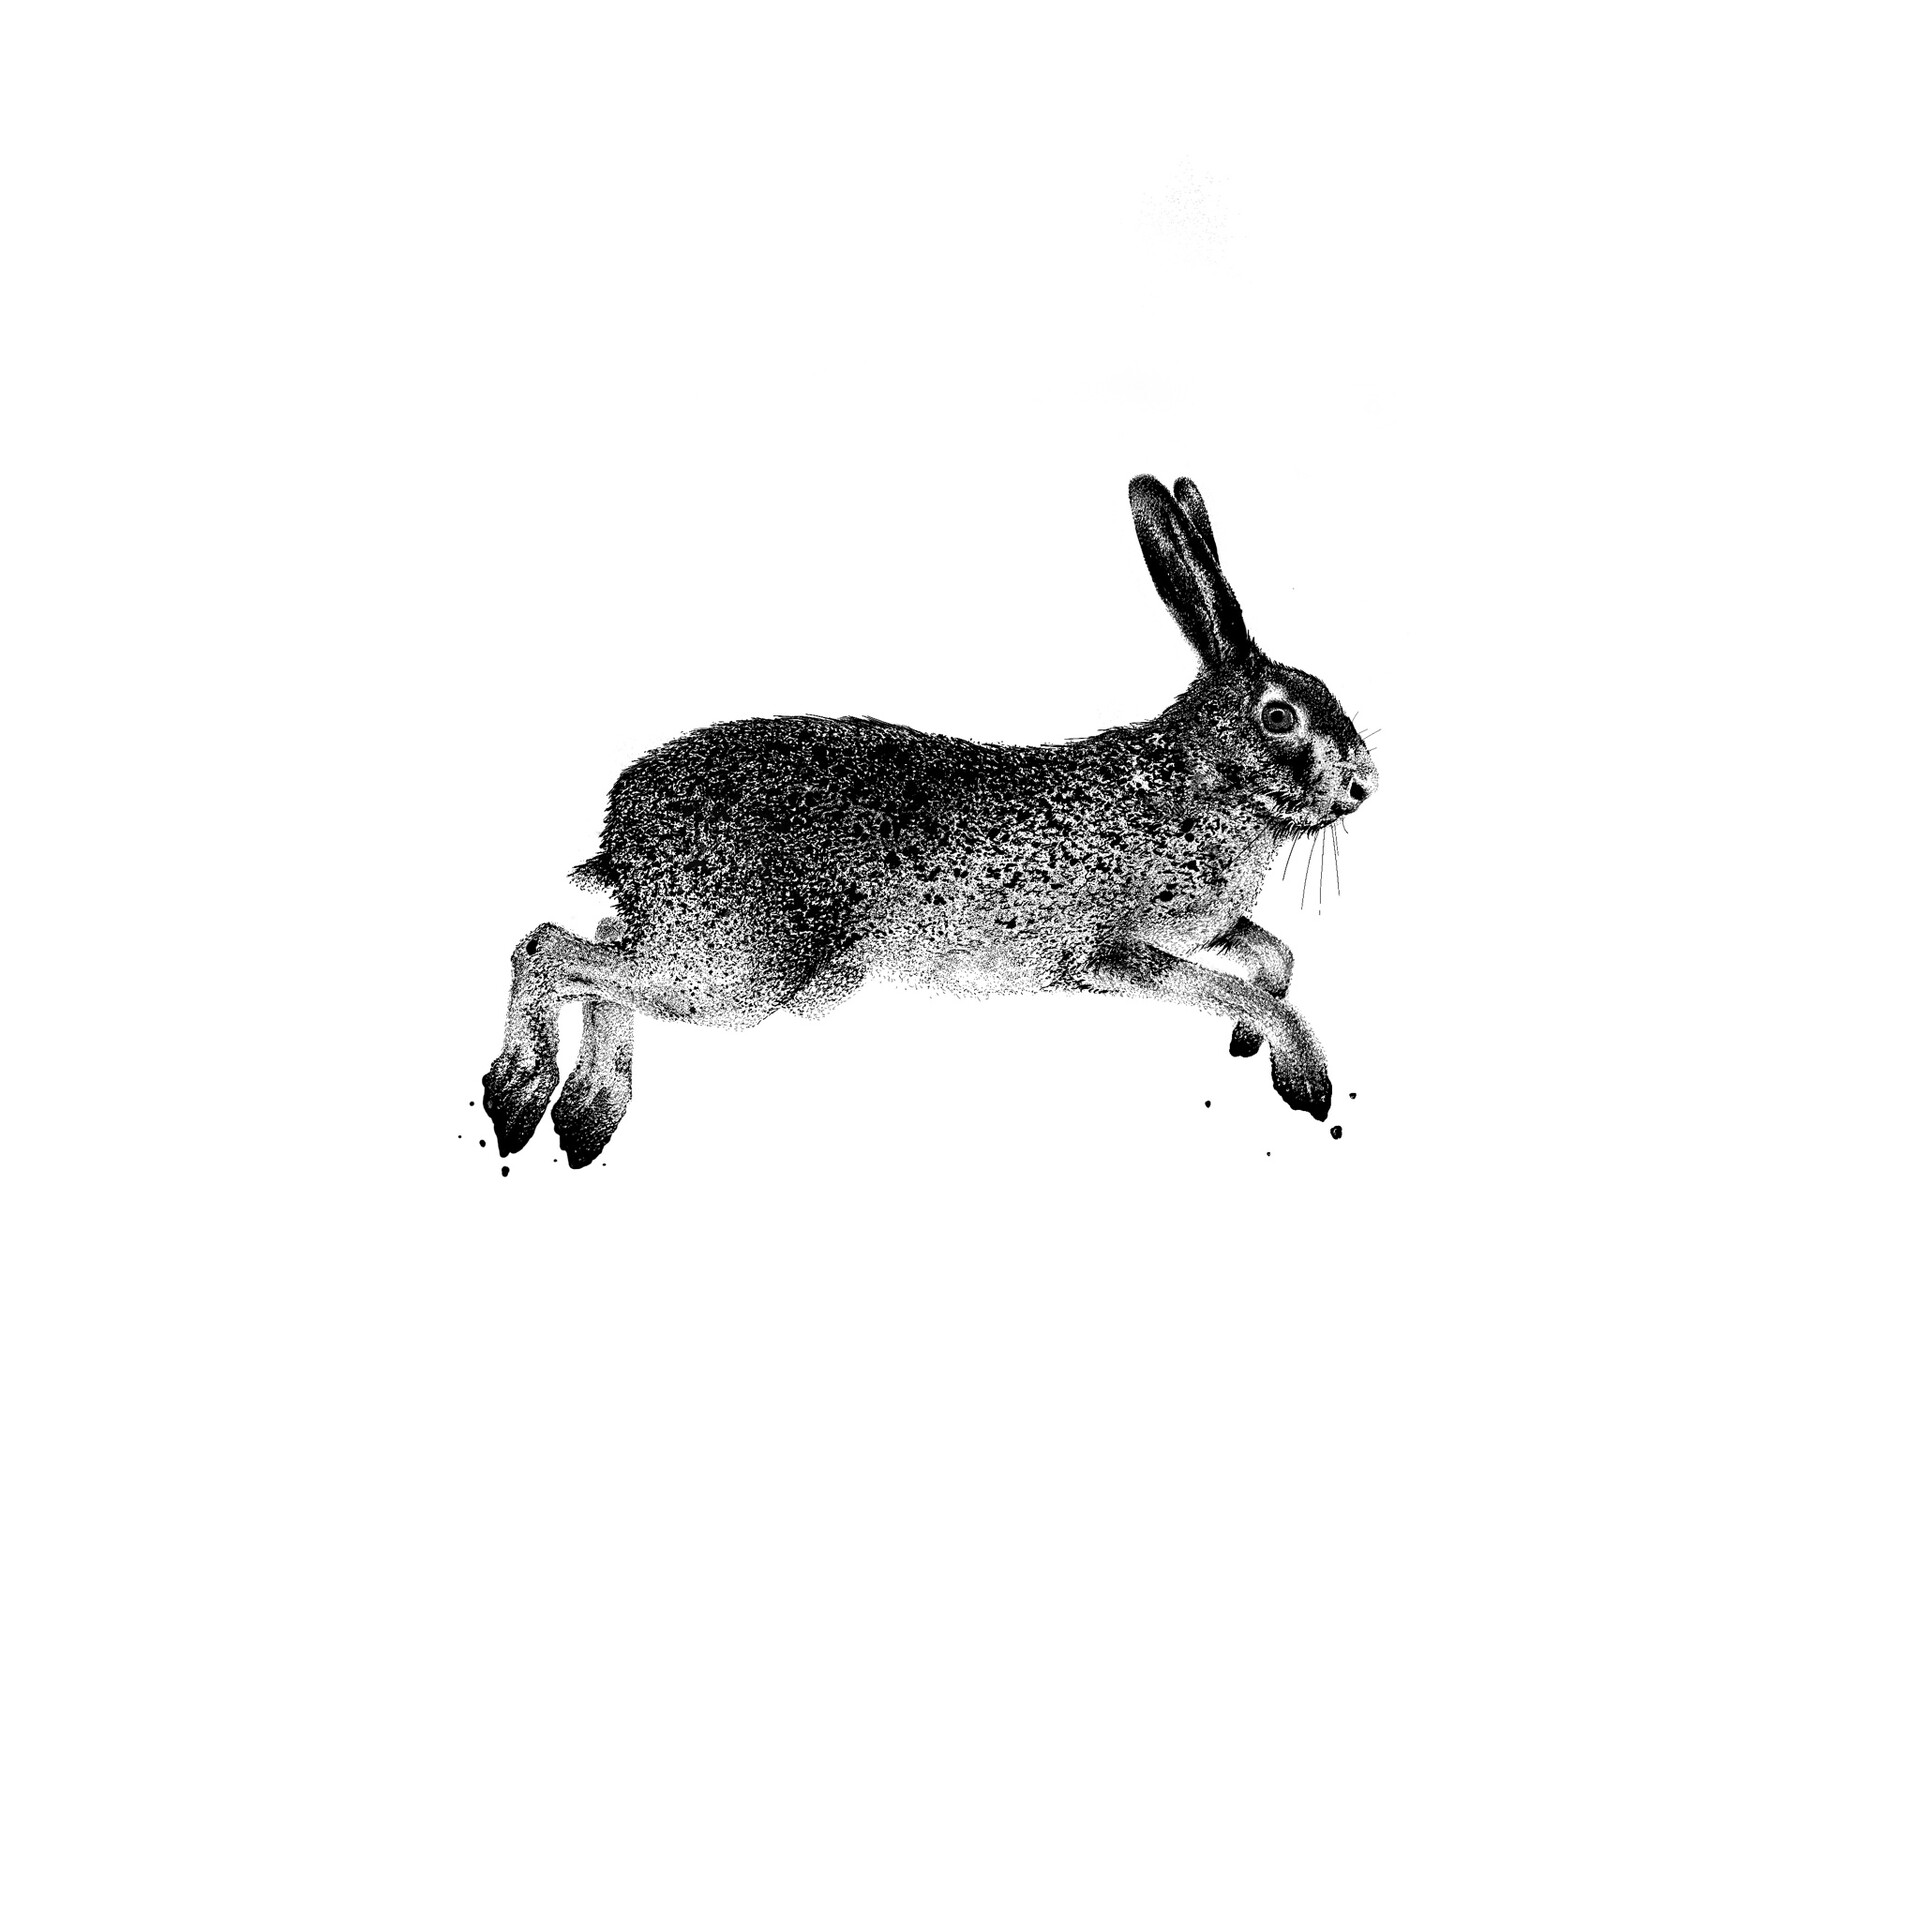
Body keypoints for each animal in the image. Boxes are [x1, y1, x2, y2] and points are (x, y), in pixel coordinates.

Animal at [482, 474, 1378, 1168]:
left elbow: (1275, 955)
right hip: (742, 973)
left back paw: (586, 1111)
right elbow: (1248, 989)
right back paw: (517, 1095)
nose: (1365, 782)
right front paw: (1306, 1080)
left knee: (598, 943)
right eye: (1279, 717)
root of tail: (622, 820)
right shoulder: (1113, 955)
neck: (1203, 780)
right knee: (548, 949)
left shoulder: (1208, 931)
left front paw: (1247, 1046)